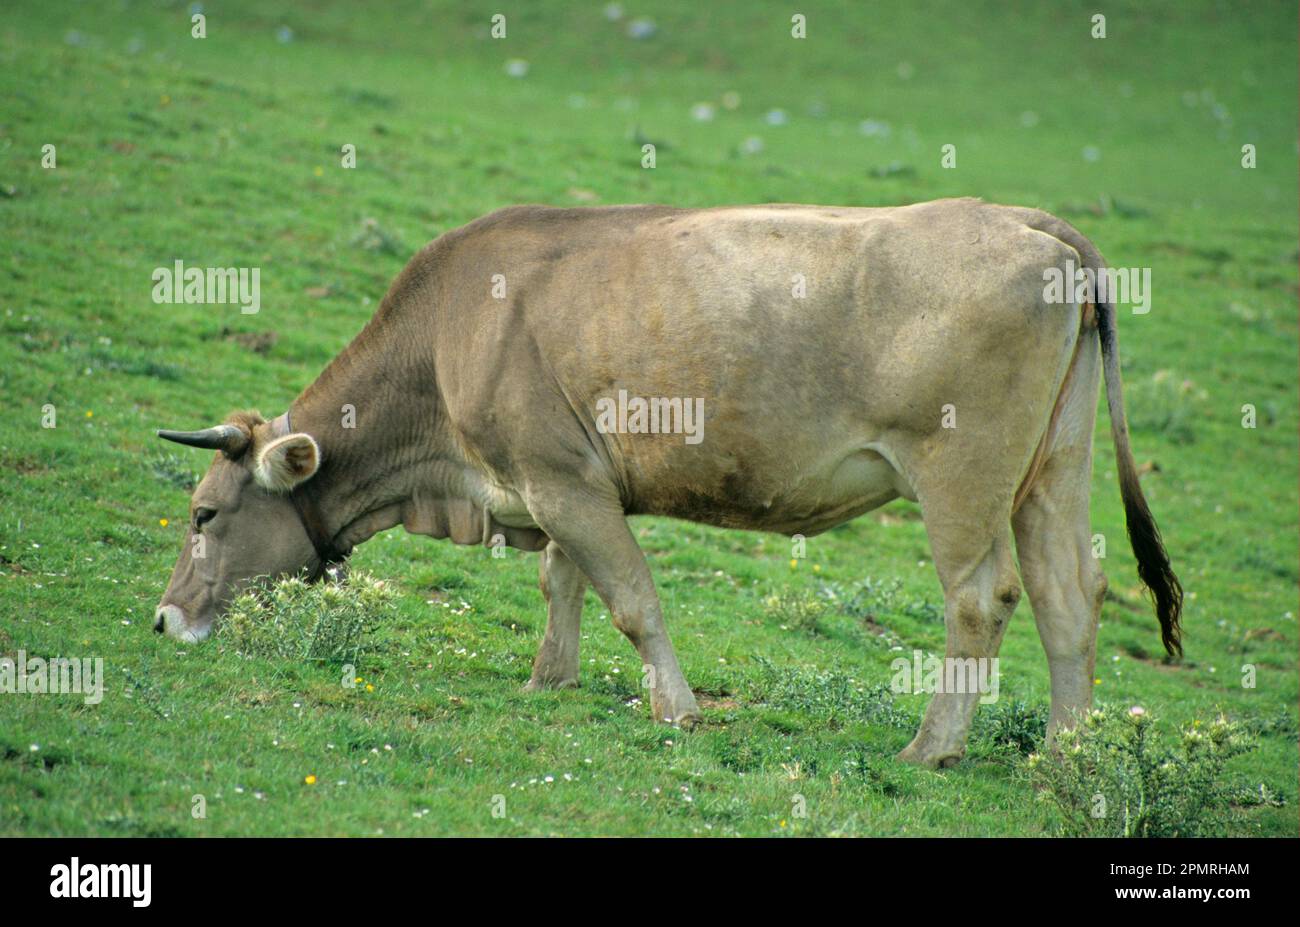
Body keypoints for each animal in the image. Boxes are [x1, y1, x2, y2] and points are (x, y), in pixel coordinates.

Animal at [153, 198, 1182, 768]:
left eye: (204, 512)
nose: (163, 620)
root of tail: (1023, 220)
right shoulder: (556, 478)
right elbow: (562, 579)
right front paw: (549, 679)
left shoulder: (561, 478)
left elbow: (632, 598)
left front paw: (678, 710)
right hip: (1054, 467)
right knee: (1069, 595)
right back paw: (1066, 754)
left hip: (960, 472)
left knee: (982, 596)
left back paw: (932, 746)